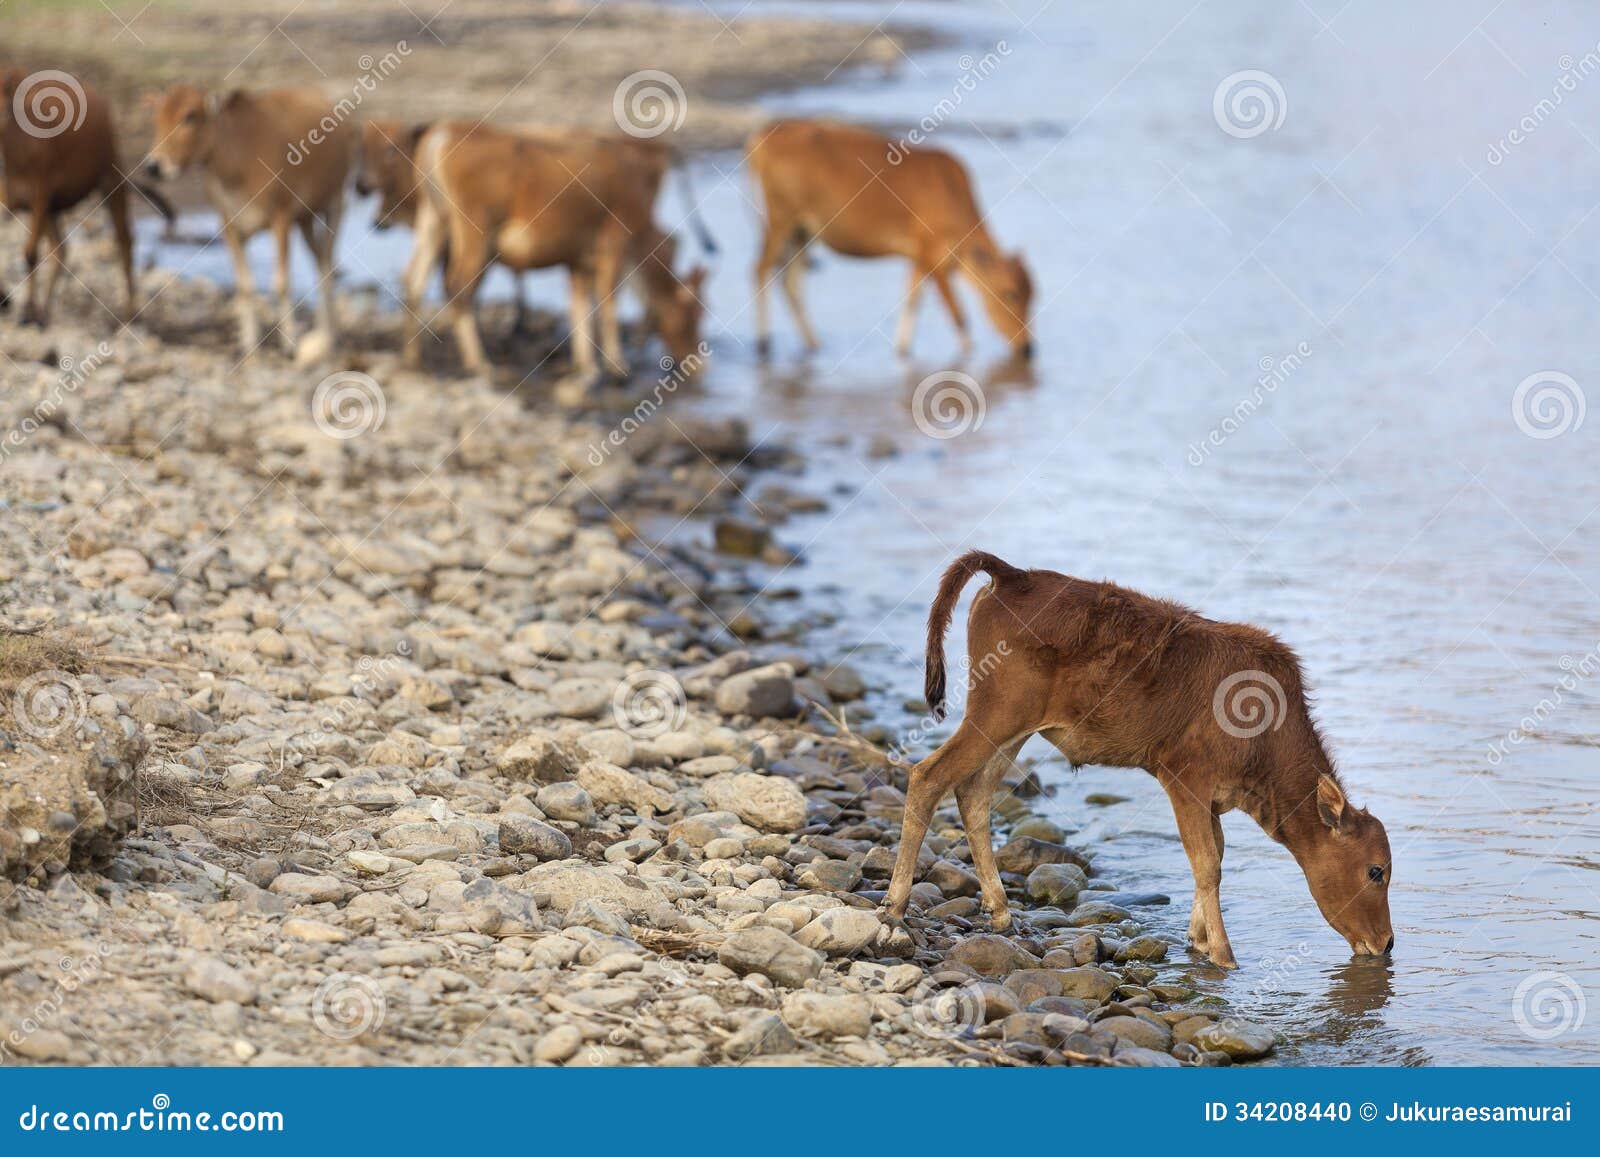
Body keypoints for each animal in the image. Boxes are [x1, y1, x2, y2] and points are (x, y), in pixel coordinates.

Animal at [0, 68, 173, 326]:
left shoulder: (40, 197)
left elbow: (30, 253)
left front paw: (28, 312)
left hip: (111, 178)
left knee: (124, 240)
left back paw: (130, 311)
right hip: (54, 209)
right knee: (61, 249)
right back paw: (46, 309)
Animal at [144, 85, 352, 359]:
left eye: (190, 116)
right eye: (156, 118)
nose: (154, 166)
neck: (237, 166)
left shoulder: (281, 219)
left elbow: (281, 283)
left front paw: (290, 344)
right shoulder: (229, 227)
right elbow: (244, 286)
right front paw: (249, 344)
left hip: (335, 203)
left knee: (326, 261)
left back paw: (330, 332)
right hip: (305, 219)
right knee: (319, 260)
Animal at [403, 121, 707, 384]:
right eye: (693, 313)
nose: (697, 365)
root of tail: (447, 130)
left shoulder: (579, 260)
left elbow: (580, 308)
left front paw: (587, 365)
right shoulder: (614, 247)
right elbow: (608, 302)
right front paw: (617, 364)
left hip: (433, 220)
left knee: (414, 280)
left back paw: (414, 357)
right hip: (476, 232)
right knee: (458, 287)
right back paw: (478, 362)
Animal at [746, 118, 1033, 360]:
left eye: (1034, 295)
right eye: (1009, 294)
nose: (1028, 348)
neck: (950, 194)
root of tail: (762, 137)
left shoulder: (918, 260)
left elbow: (912, 301)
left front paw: (902, 349)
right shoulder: (933, 259)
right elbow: (958, 315)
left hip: (803, 232)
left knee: (790, 283)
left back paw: (813, 344)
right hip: (780, 221)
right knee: (760, 269)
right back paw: (763, 342)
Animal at [887, 550, 1394, 968]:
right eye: (1376, 871)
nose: (1386, 944)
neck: (1269, 730)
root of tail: (1014, 576)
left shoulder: (1210, 799)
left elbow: (1214, 857)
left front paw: (1198, 940)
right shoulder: (1185, 780)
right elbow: (1206, 862)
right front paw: (1224, 955)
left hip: (1011, 732)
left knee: (973, 791)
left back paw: (1000, 913)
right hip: (993, 718)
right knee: (929, 776)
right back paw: (894, 908)